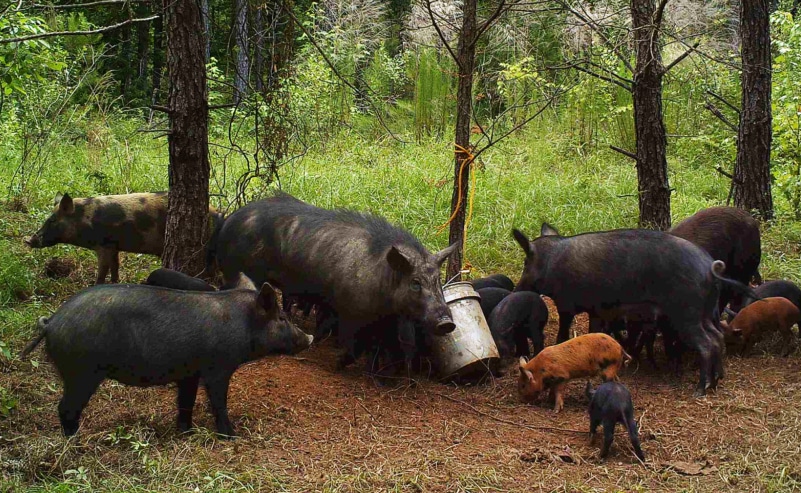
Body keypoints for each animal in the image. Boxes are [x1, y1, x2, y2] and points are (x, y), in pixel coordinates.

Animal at [18, 276, 312, 437]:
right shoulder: (217, 368)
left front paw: (187, 431)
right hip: (81, 372)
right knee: (66, 408)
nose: (308, 337)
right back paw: (76, 441)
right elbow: (218, 401)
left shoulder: (190, 372)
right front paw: (232, 436)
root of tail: (51, 323)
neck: (244, 322)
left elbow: (186, 401)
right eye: (282, 318)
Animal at [25, 193, 223, 284]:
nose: (28, 240)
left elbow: (102, 270)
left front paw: (95, 285)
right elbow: (115, 267)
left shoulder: (104, 245)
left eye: (52, 220)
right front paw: (115, 282)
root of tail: (219, 215)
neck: (85, 220)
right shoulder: (114, 247)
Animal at [213, 192, 457, 369]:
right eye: (416, 282)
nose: (447, 322)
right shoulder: (349, 311)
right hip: (238, 270)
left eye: (437, 281)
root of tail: (228, 222)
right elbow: (353, 345)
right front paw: (337, 364)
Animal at [512, 224, 757, 395]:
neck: (553, 262)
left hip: (687, 312)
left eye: (525, 262)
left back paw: (700, 390)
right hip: (705, 311)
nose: (516, 288)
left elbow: (563, 333)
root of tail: (709, 268)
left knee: (706, 344)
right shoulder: (597, 310)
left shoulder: (567, 305)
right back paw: (716, 382)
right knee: (717, 338)